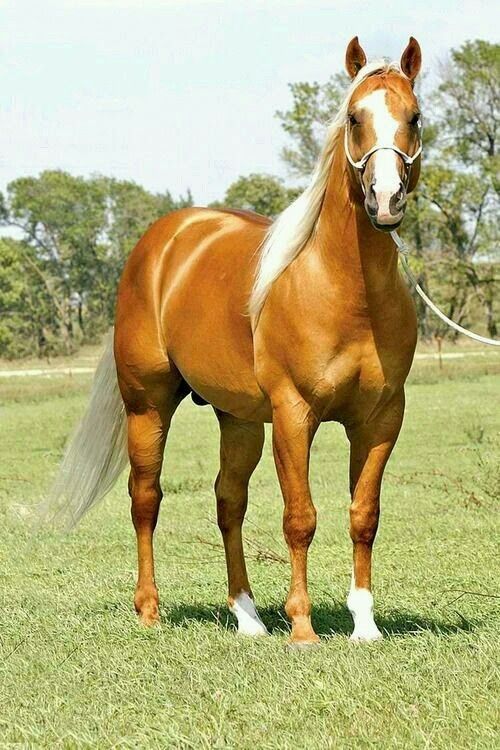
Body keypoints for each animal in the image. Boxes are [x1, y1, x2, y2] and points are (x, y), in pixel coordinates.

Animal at [43, 36, 423, 646]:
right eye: (353, 117)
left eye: (414, 117)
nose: (385, 200)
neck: (347, 291)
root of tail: (161, 241)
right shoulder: (294, 415)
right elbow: (300, 518)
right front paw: (302, 627)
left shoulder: (381, 420)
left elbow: (363, 515)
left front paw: (364, 624)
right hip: (147, 405)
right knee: (145, 499)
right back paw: (149, 610)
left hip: (238, 419)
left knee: (229, 502)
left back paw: (247, 616)